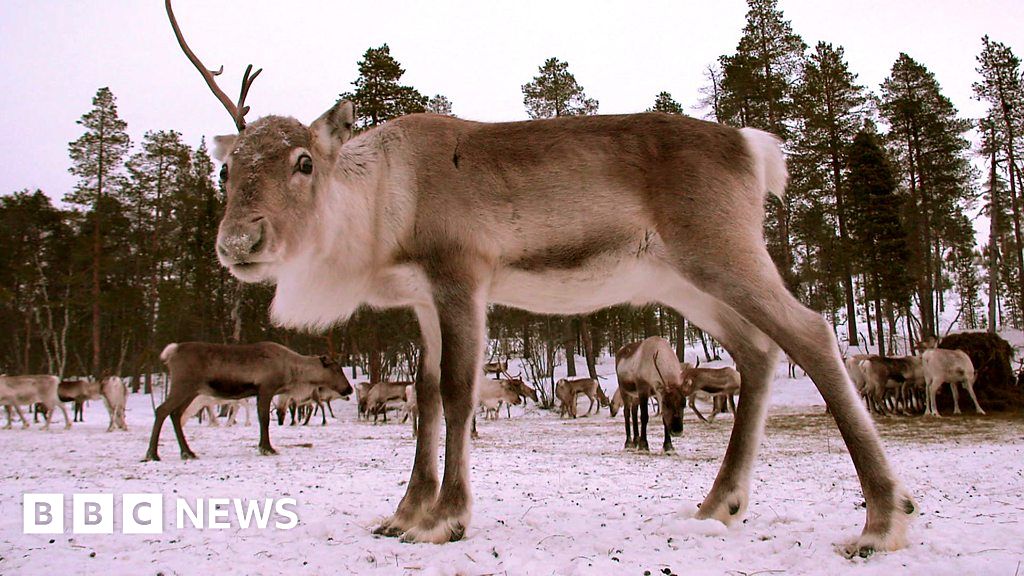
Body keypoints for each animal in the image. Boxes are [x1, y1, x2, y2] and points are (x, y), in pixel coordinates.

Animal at [144, 341, 352, 460]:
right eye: (336, 369)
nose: (349, 389)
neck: (292, 372)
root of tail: (172, 352)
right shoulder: (266, 388)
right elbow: (264, 419)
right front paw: (267, 448)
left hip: (192, 391)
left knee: (175, 413)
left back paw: (187, 452)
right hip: (183, 385)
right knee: (162, 410)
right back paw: (152, 454)